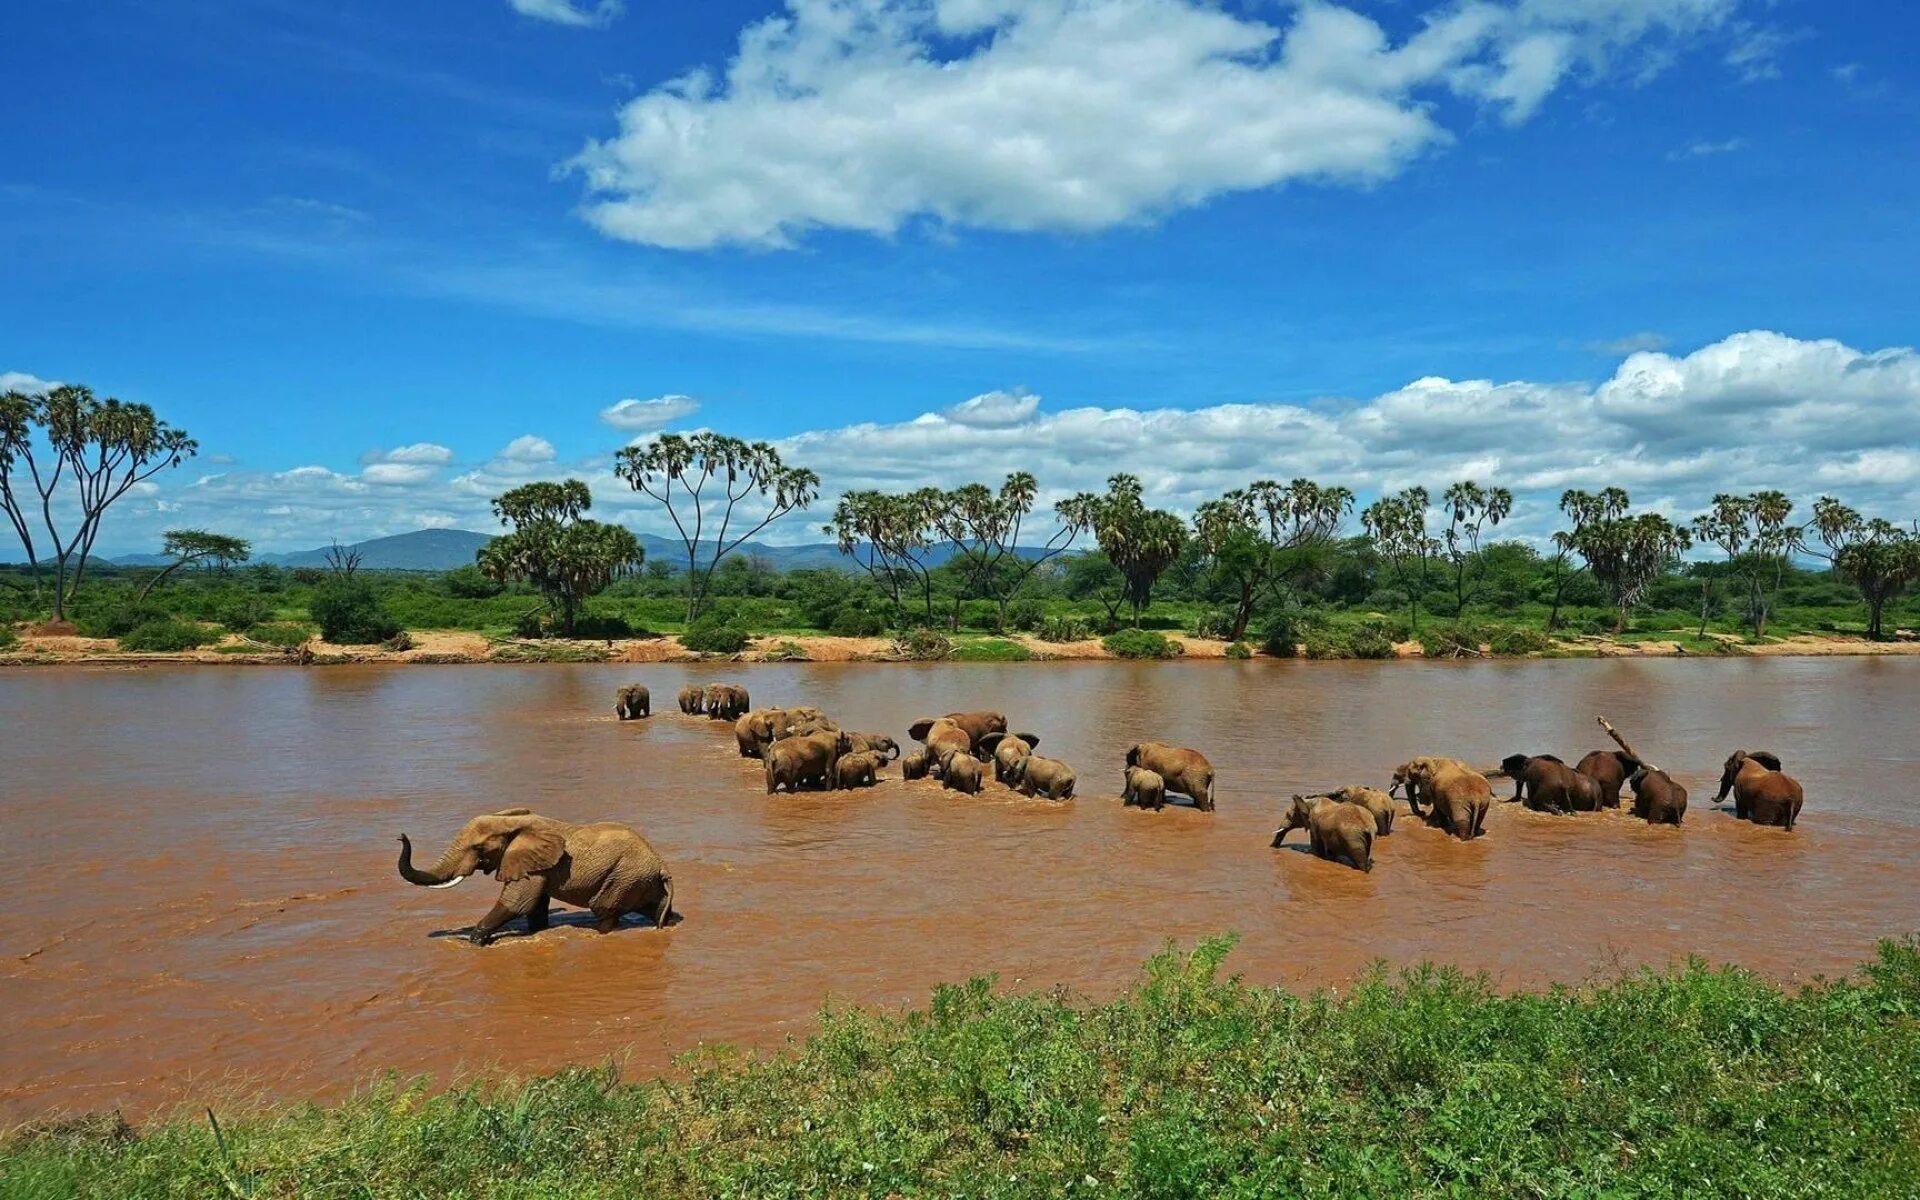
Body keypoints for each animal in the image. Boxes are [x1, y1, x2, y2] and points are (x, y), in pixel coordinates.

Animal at [389, 806, 675, 944]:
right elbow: (535, 907)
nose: (400, 836)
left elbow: (518, 903)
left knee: (603, 909)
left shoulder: (534, 864)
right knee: (654, 907)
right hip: (636, 879)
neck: (511, 822)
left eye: (478, 849)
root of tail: (661, 865)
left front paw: (476, 941)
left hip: (623, 876)